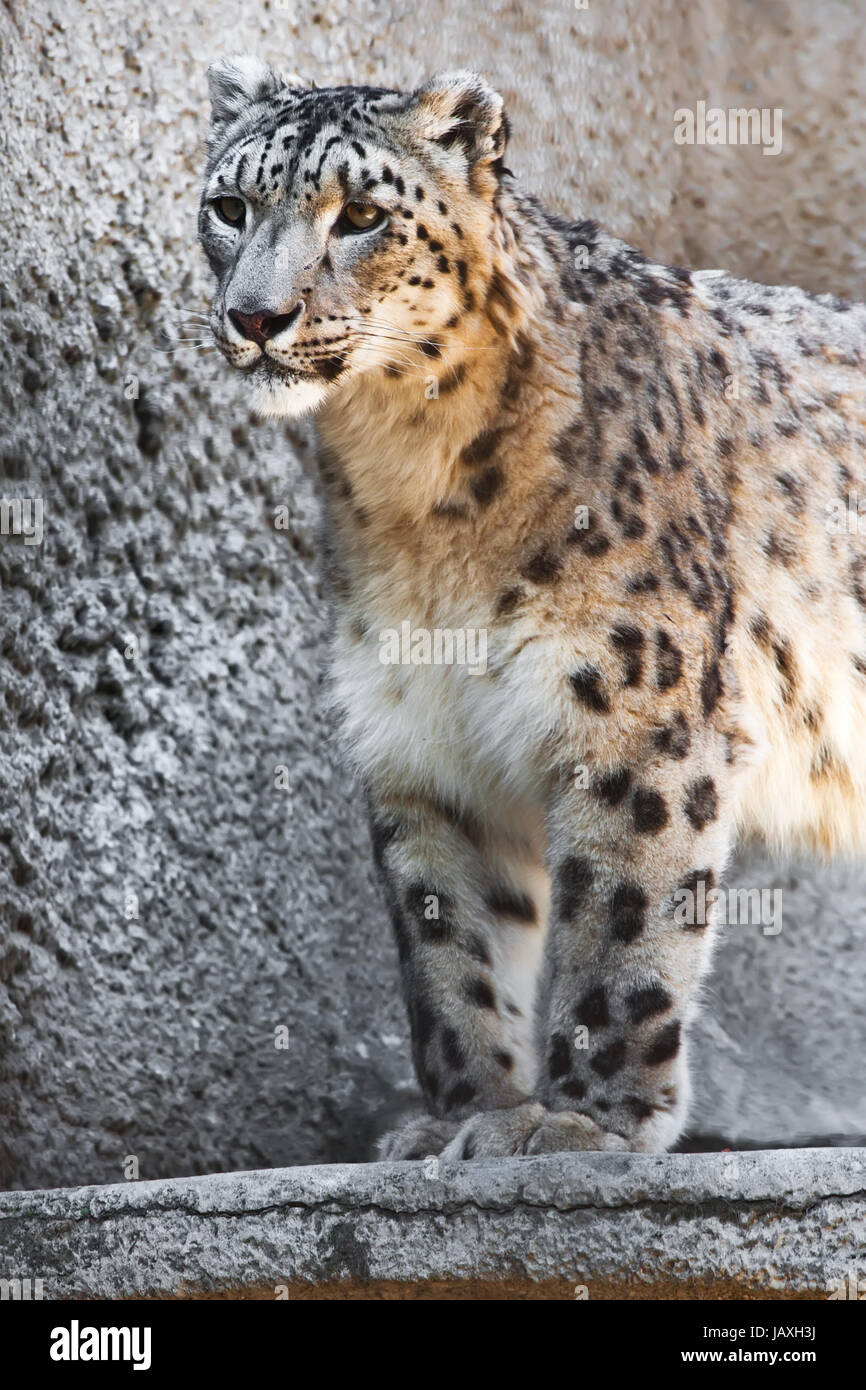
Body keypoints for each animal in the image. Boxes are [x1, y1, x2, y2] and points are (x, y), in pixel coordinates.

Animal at [198, 57, 866, 1161]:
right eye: (228, 206)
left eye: (361, 214)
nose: (255, 316)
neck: (413, 483)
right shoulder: (421, 732)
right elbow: (449, 942)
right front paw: (464, 1118)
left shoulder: (640, 711)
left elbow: (622, 918)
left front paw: (584, 1119)